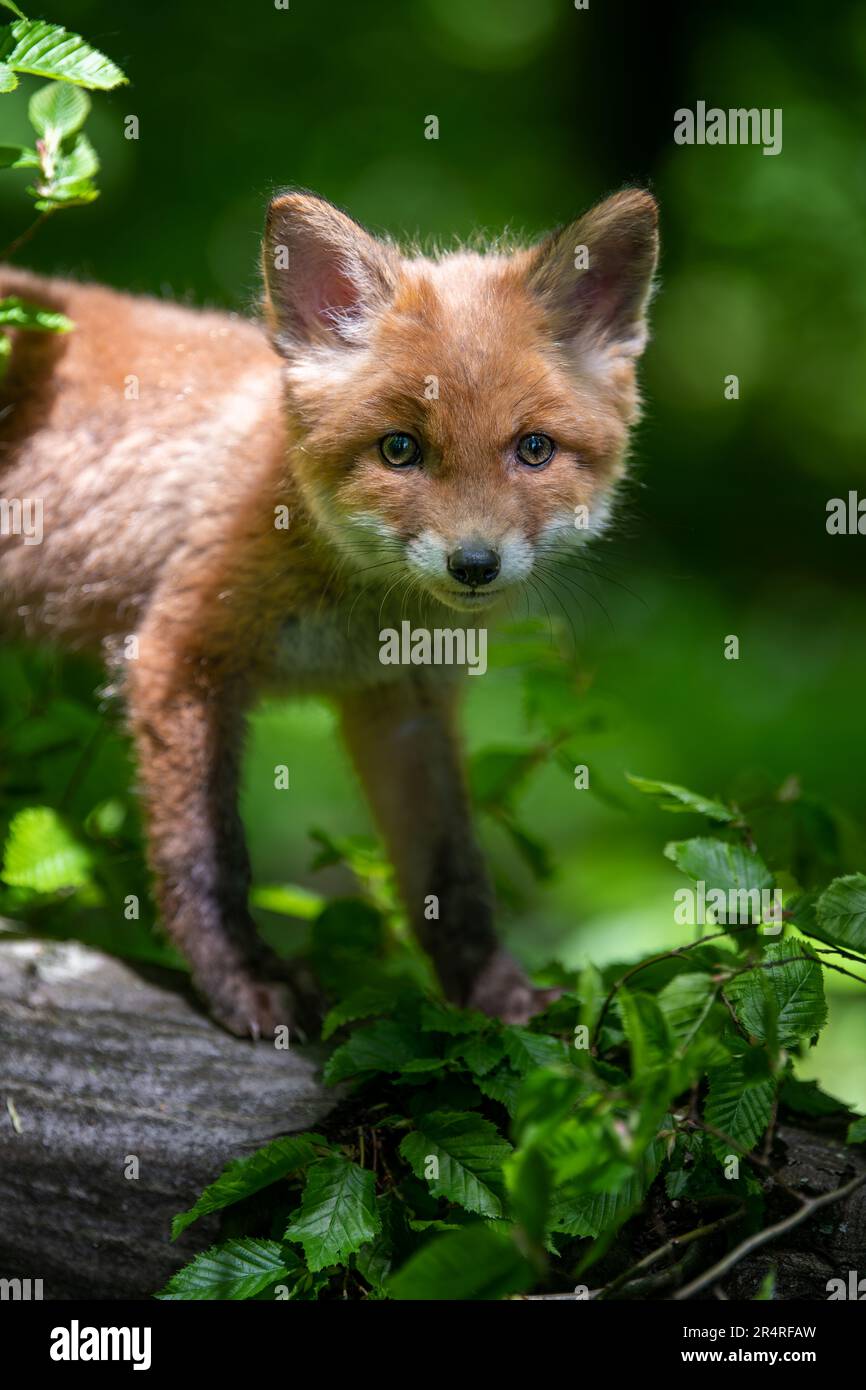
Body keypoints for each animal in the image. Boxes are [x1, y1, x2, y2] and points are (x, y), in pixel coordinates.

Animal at [0, 188, 658, 1038]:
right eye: (400, 449)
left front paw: (494, 996)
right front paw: (242, 977)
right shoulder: (178, 656)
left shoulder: (405, 704)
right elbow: (206, 854)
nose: (474, 564)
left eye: (535, 450)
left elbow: (453, 874)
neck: (359, 615)